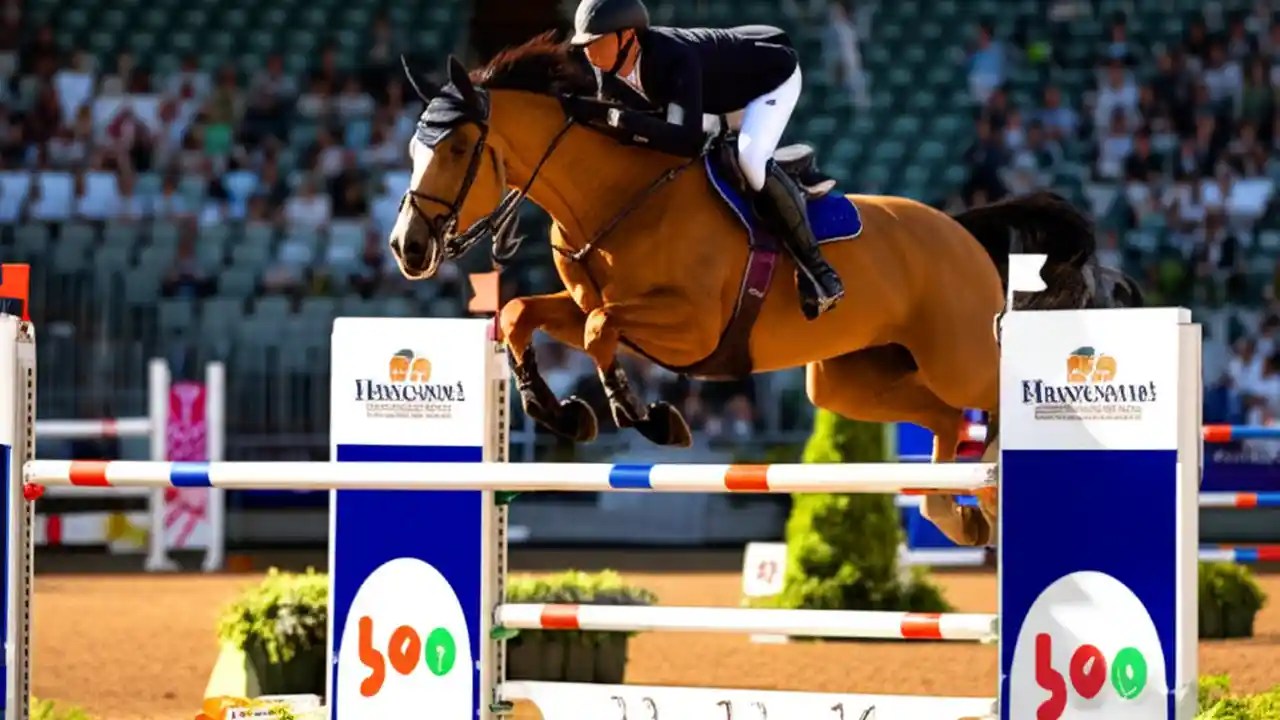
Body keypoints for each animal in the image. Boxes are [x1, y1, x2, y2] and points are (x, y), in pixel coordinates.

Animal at [387, 33, 1139, 547]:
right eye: (413, 149)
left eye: (458, 148)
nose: (407, 249)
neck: (618, 194)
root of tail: (960, 230)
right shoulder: (584, 304)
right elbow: (523, 313)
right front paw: (562, 413)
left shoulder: (686, 326)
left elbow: (602, 332)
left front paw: (645, 416)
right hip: (851, 383)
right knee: (951, 422)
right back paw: (962, 515)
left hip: (959, 358)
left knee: (995, 403)